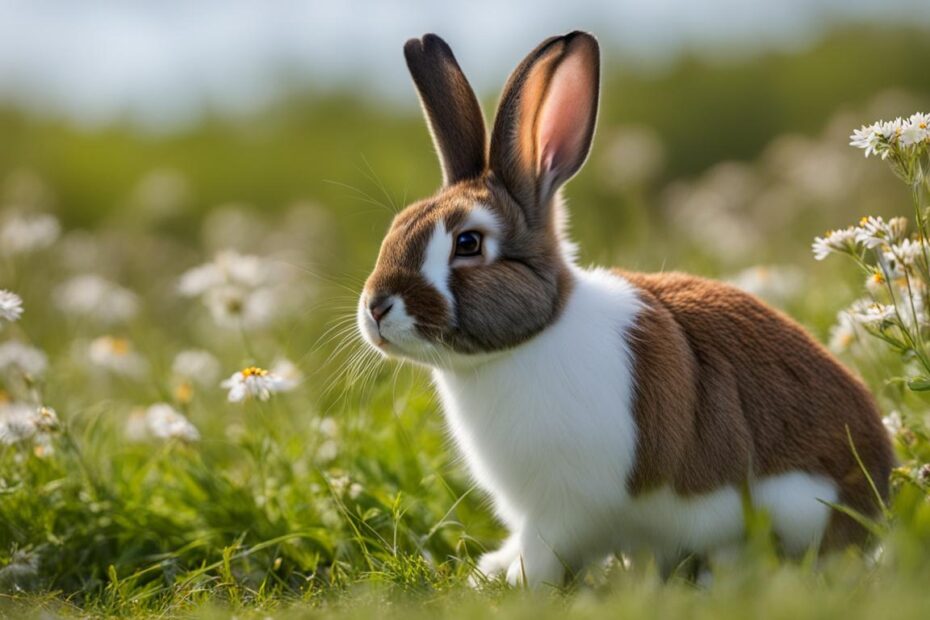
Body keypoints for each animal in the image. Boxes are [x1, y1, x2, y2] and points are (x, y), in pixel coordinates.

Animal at [356, 31, 894, 588]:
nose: (376, 308)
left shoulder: (561, 512)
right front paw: (492, 570)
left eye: (468, 243)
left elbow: (543, 553)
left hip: (792, 505)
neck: (531, 340)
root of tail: (876, 491)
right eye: (398, 224)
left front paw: (512, 585)